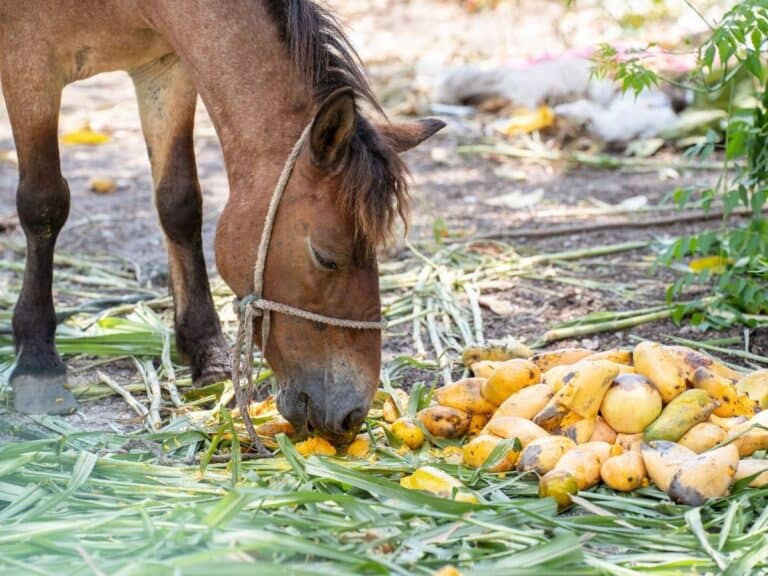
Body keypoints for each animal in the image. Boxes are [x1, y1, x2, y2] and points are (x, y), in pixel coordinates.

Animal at [0, 0, 443, 443]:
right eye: (325, 257)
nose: (351, 414)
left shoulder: (165, 67)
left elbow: (179, 204)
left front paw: (205, 350)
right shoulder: (28, 64)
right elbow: (43, 204)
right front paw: (37, 357)